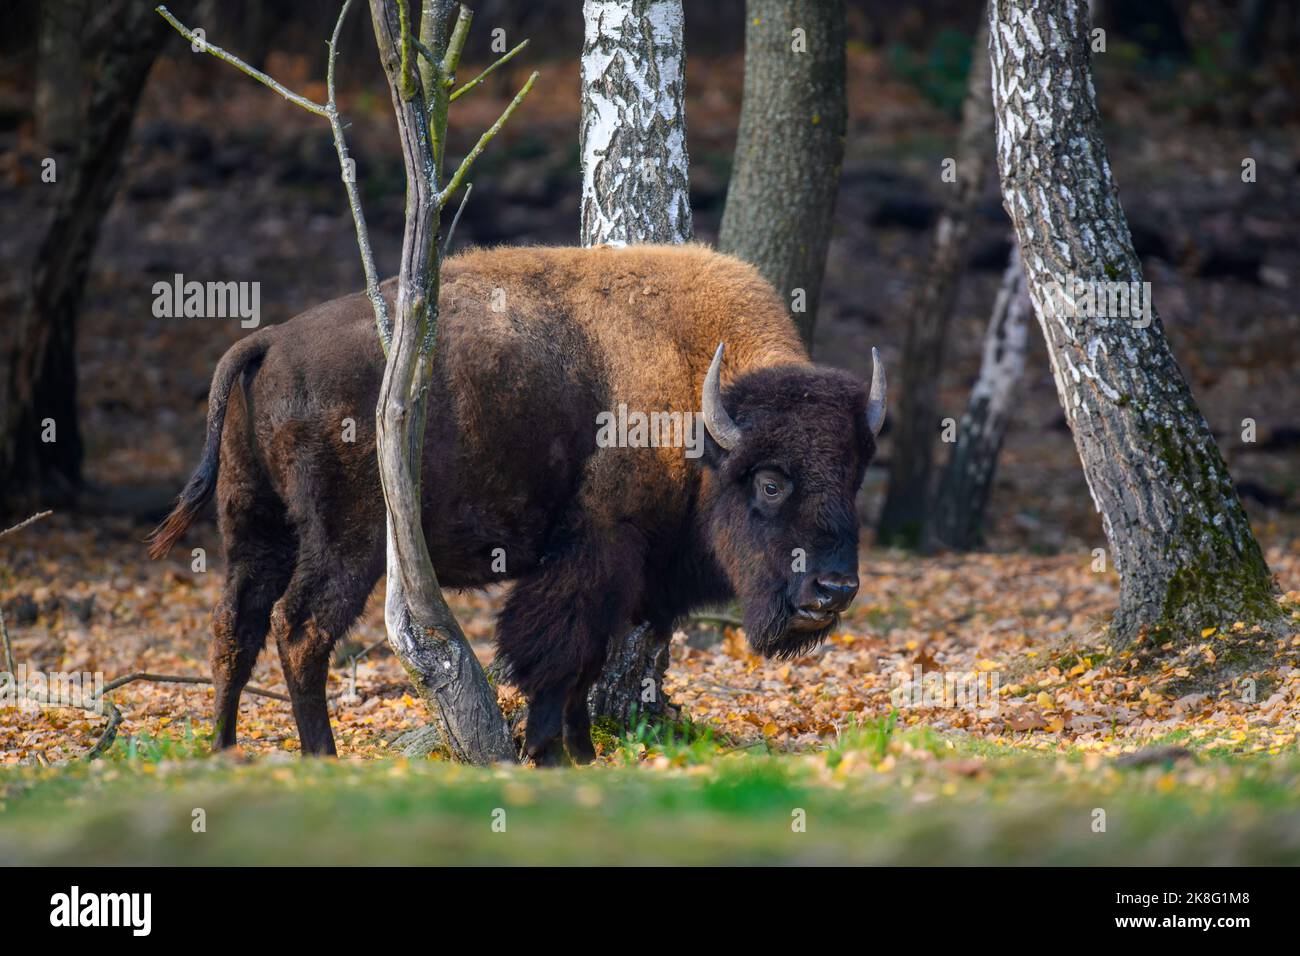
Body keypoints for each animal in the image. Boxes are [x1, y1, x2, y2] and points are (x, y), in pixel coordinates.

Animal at [149, 244, 886, 763]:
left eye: (853, 476)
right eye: (769, 482)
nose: (834, 589)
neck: (694, 397)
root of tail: (271, 339)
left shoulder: (619, 576)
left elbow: (588, 659)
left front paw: (583, 753)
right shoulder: (595, 554)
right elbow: (559, 654)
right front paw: (548, 753)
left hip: (255, 525)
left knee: (235, 625)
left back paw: (223, 750)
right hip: (346, 541)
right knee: (299, 628)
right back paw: (320, 757)